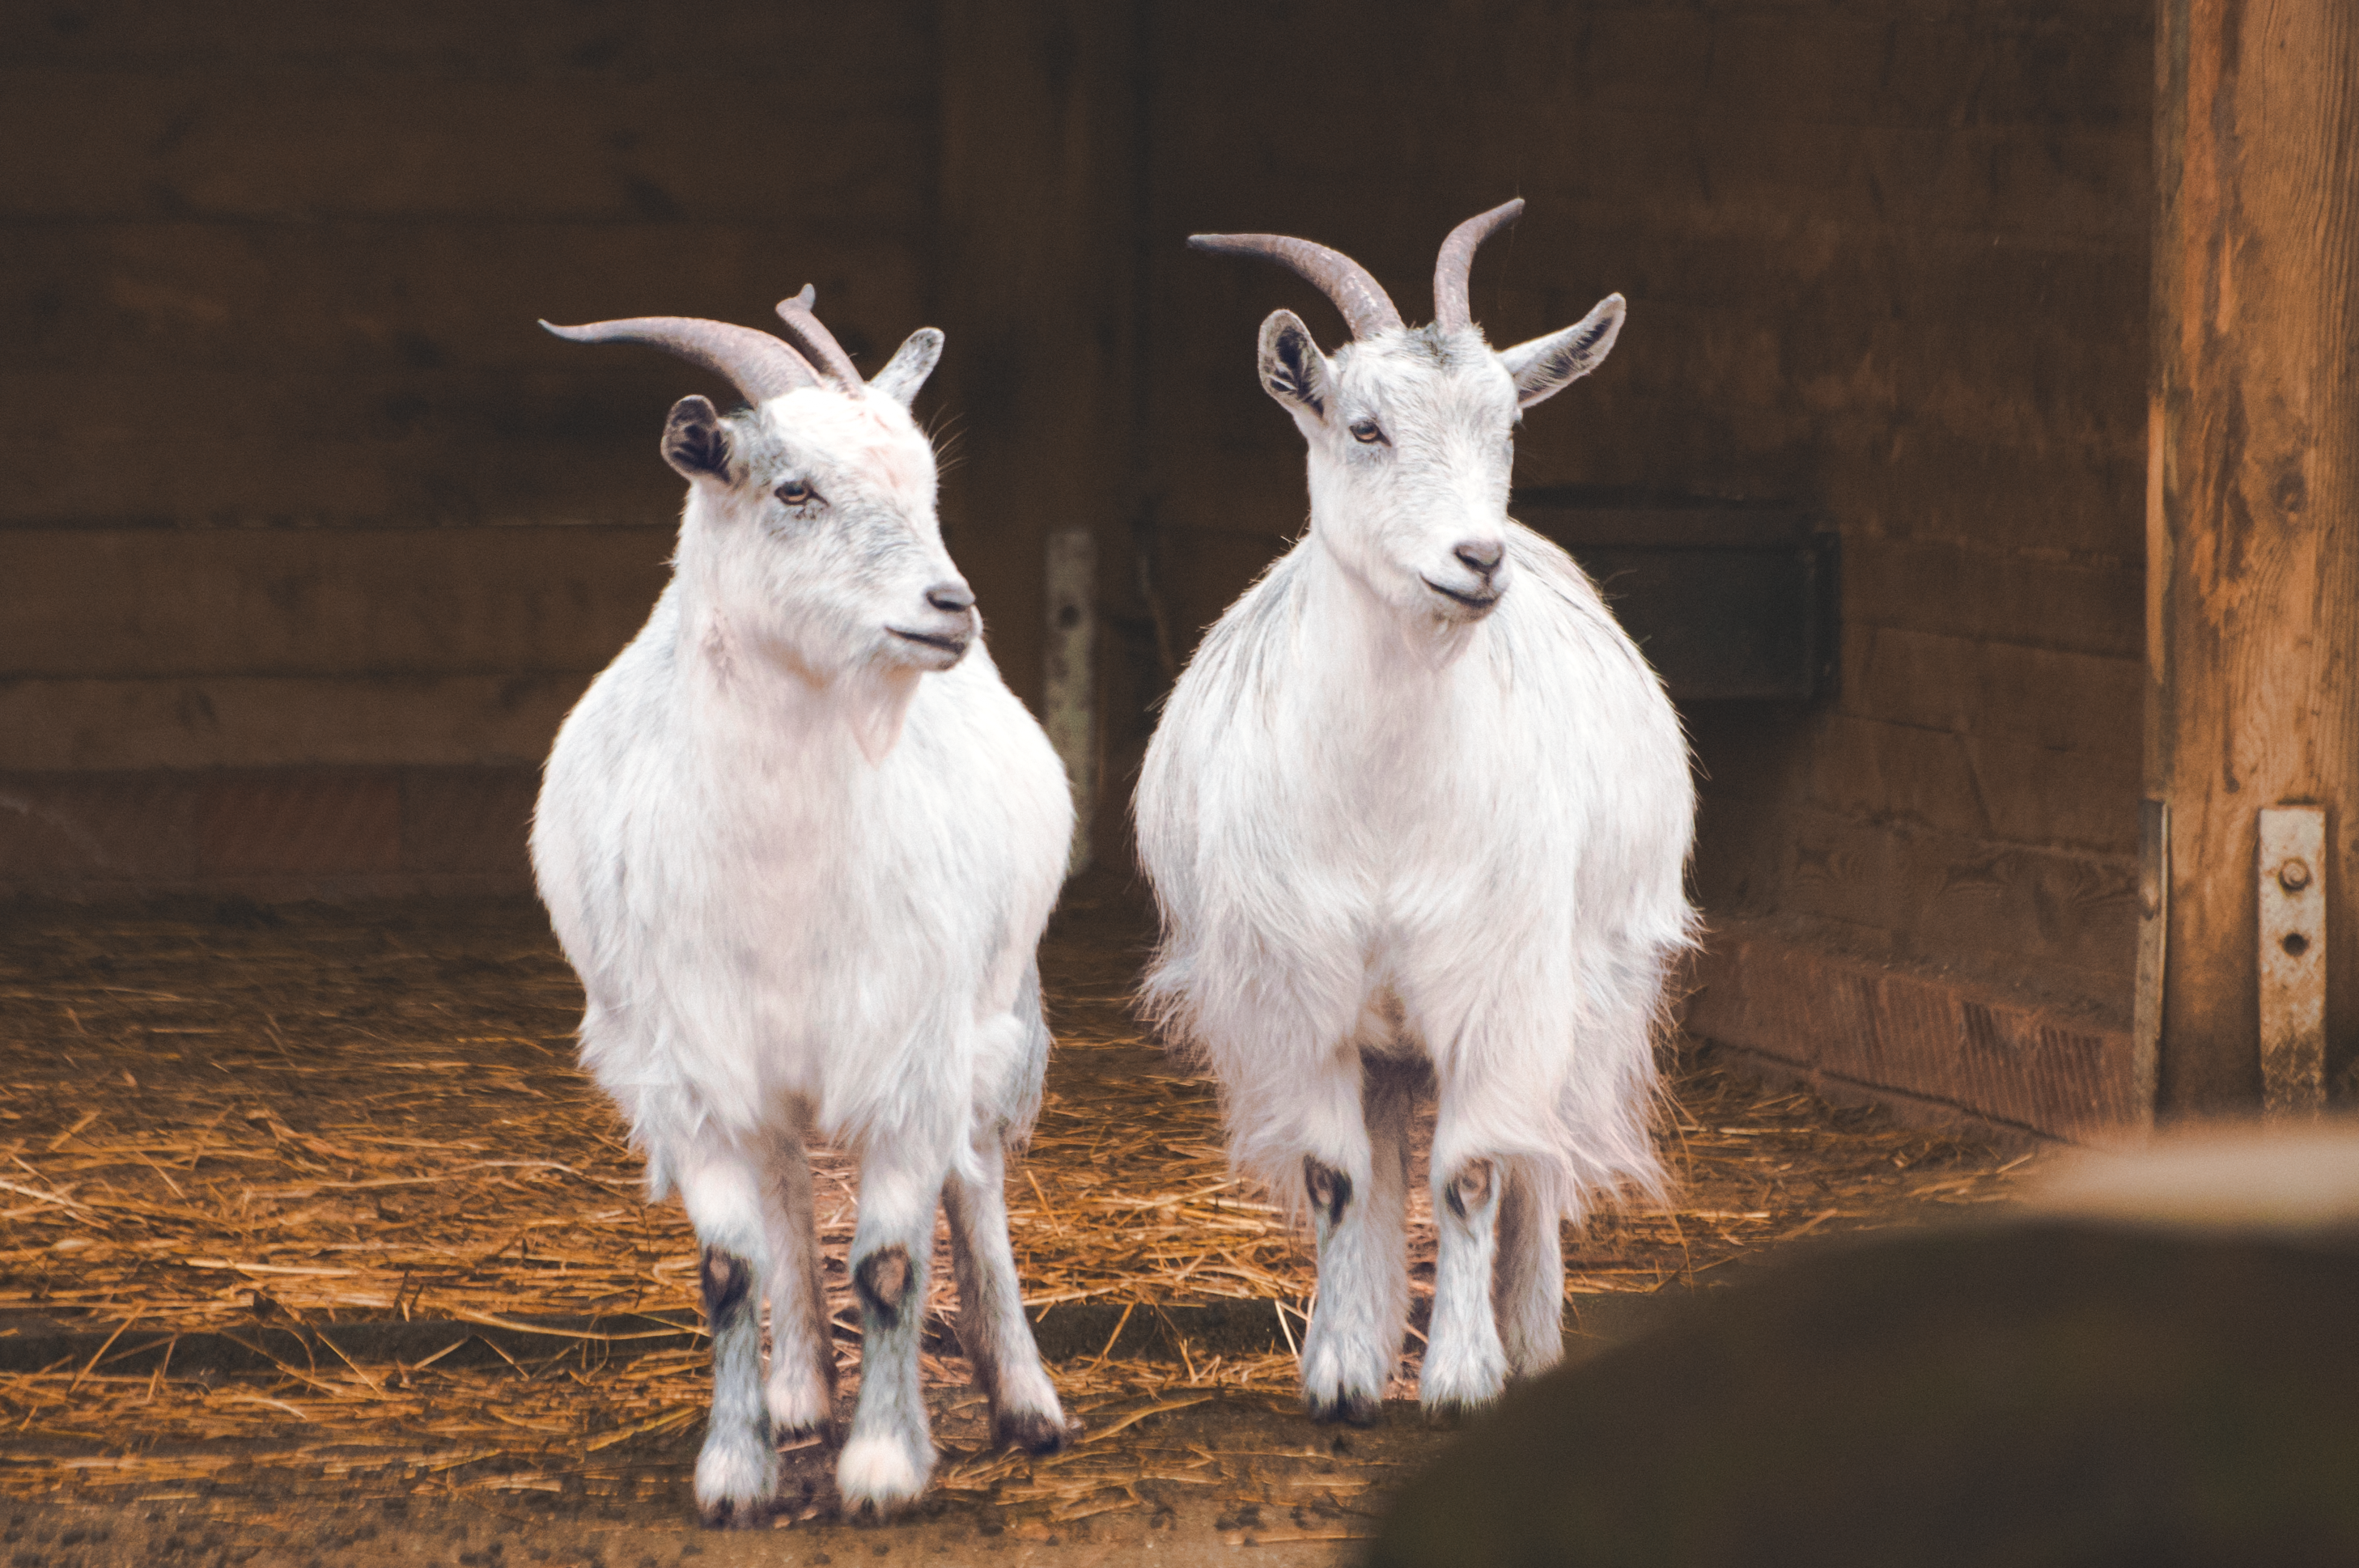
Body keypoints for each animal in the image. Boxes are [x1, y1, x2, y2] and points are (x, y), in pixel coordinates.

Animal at [531, 291, 1073, 1523]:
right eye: (793, 491)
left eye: (925, 486)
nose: (948, 605)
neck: (780, 871)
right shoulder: (689, 1067)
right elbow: (730, 1266)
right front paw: (735, 1471)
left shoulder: (912, 1049)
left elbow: (889, 1261)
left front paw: (883, 1467)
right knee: (783, 1192)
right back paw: (796, 1394)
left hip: (995, 1010)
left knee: (977, 1184)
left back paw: (1022, 1397)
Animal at [1136, 201, 1696, 1421]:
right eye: (1363, 427)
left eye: (1507, 427)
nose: (1475, 558)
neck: (1388, 807)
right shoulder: (1298, 990)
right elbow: (1340, 1176)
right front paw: (1342, 1370)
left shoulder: (1499, 982)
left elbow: (1475, 1170)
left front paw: (1464, 1374)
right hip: (1386, 1029)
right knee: (1388, 1149)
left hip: (1583, 986)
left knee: (1538, 1152)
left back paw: (1528, 1330)